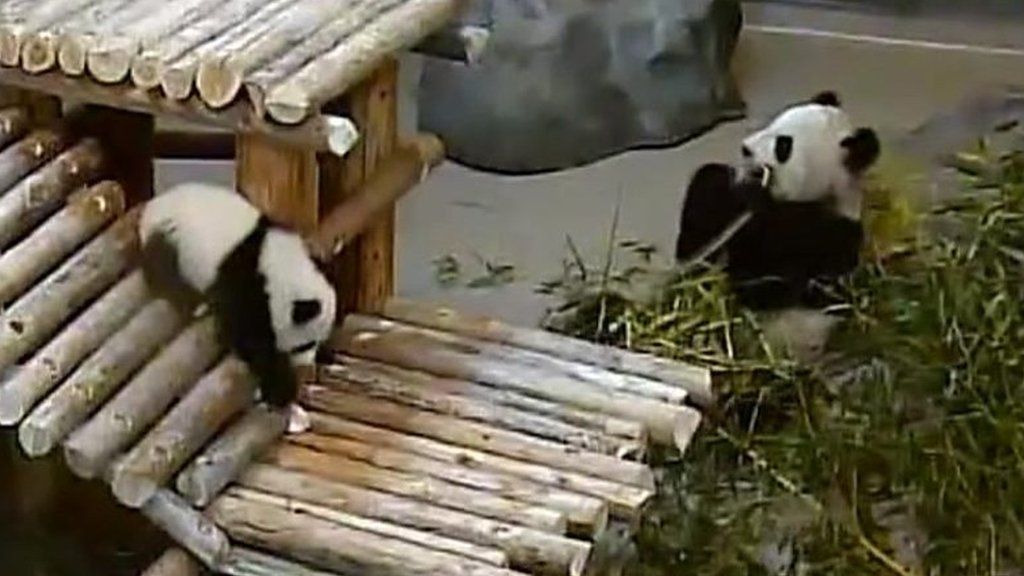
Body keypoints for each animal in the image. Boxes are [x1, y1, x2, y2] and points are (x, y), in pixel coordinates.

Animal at [138, 182, 337, 433]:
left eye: (315, 344)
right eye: (304, 345)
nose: (307, 364)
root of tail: (149, 211)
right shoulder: (244, 287)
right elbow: (250, 340)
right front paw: (280, 389)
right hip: (171, 245)